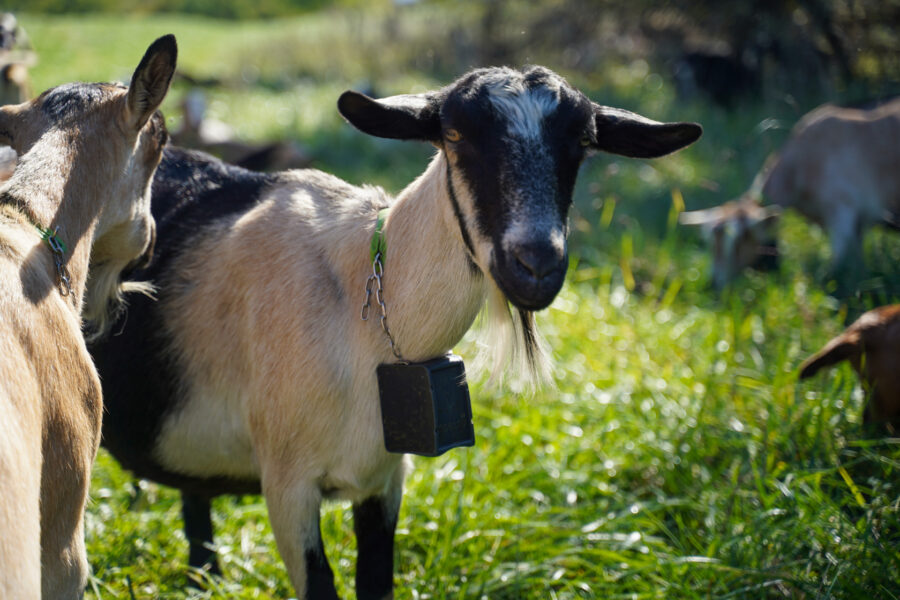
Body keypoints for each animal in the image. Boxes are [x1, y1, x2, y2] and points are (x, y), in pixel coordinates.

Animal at [90, 65, 701, 598]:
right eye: (454, 135)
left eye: (582, 143)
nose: (536, 266)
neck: (361, 303)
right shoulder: (287, 485)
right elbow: (323, 587)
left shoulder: (385, 479)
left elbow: (376, 584)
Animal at [680, 98, 900, 288]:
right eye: (709, 244)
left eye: (737, 242)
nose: (714, 283)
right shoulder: (856, 224)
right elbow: (856, 266)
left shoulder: (842, 211)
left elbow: (838, 268)